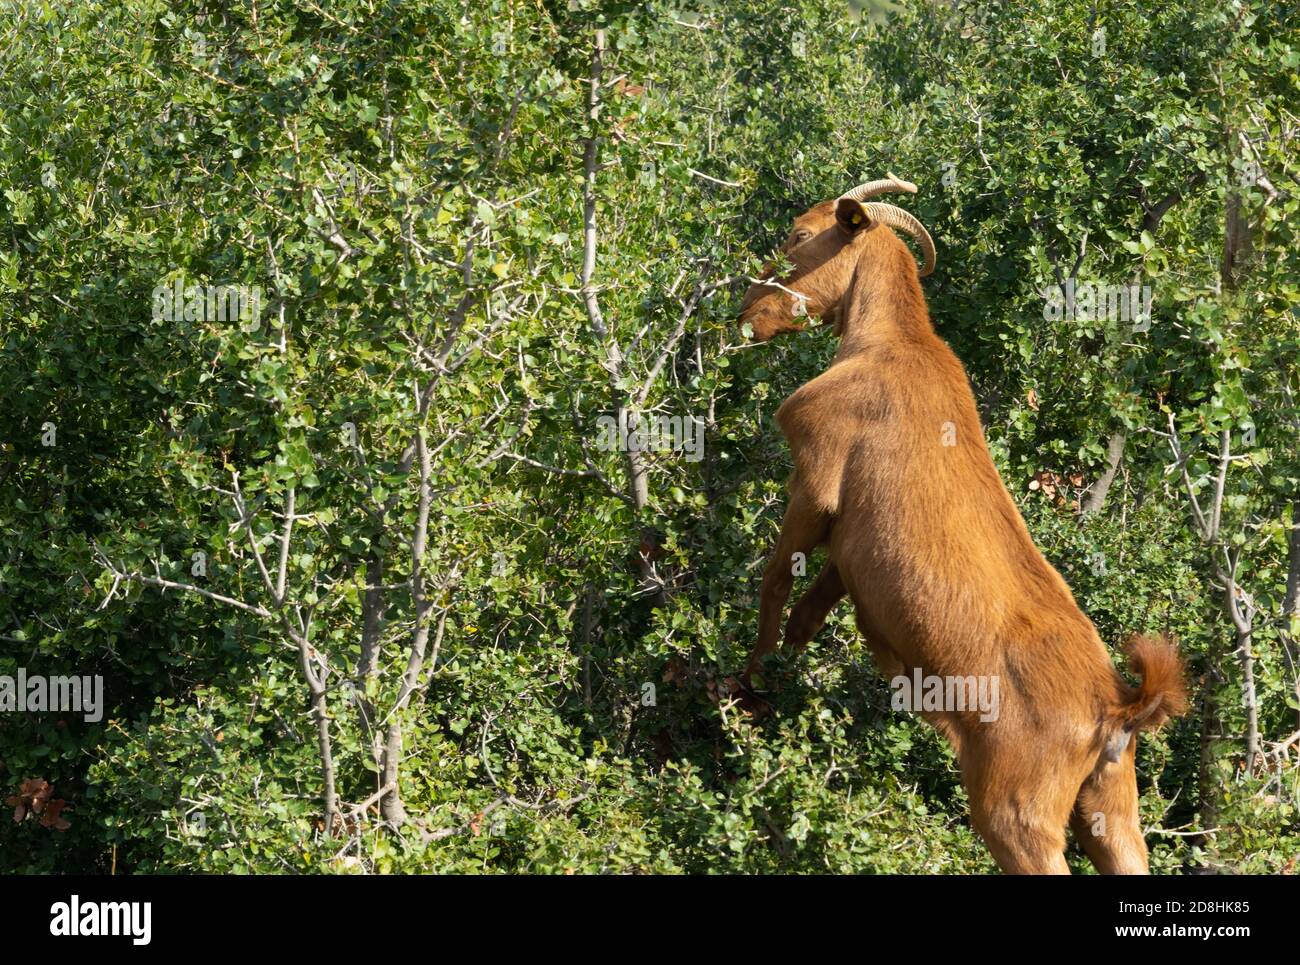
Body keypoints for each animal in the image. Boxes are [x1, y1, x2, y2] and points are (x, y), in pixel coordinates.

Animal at [736, 176, 1188, 874]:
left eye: (801, 236)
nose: (749, 311)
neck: (892, 343)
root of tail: (1116, 710)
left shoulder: (815, 482)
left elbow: (775, 585)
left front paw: (750, 684)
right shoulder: (850, 550)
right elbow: (808, 613)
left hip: (1016, 811)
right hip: (1111, 803)